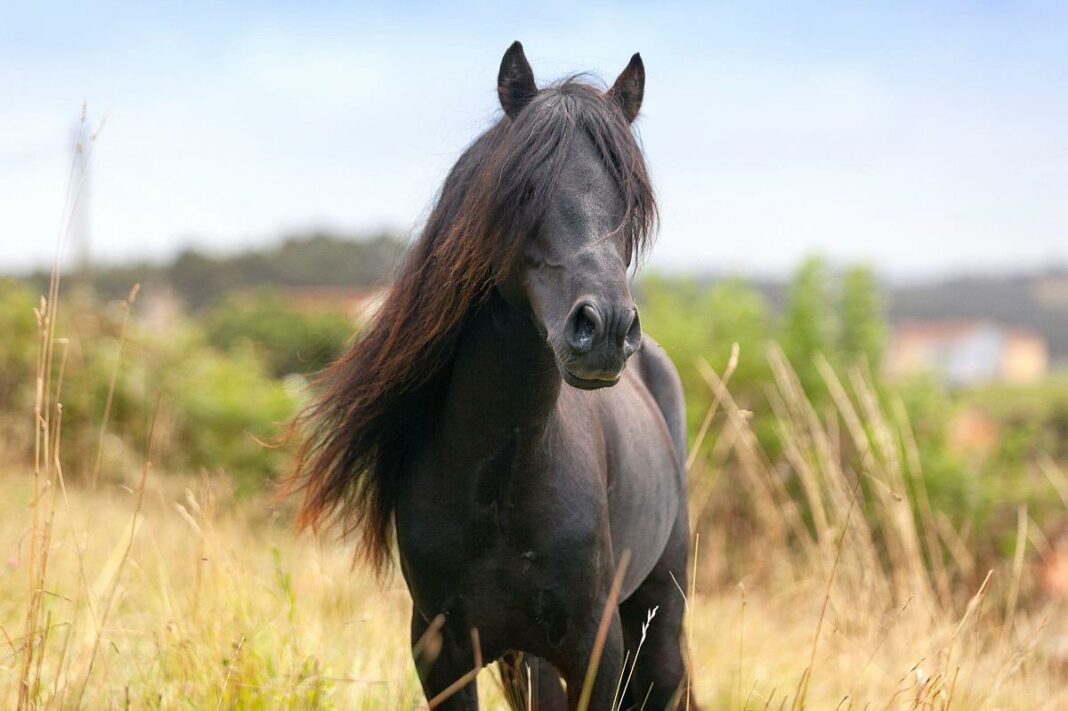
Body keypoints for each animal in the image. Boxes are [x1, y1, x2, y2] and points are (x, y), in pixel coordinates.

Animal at [288, 42, 696, 710]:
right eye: (523, 188)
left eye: (631, 199)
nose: (607, 330)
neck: (500, 483)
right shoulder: (442, 653)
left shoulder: (595, 649)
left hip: (658, 616)